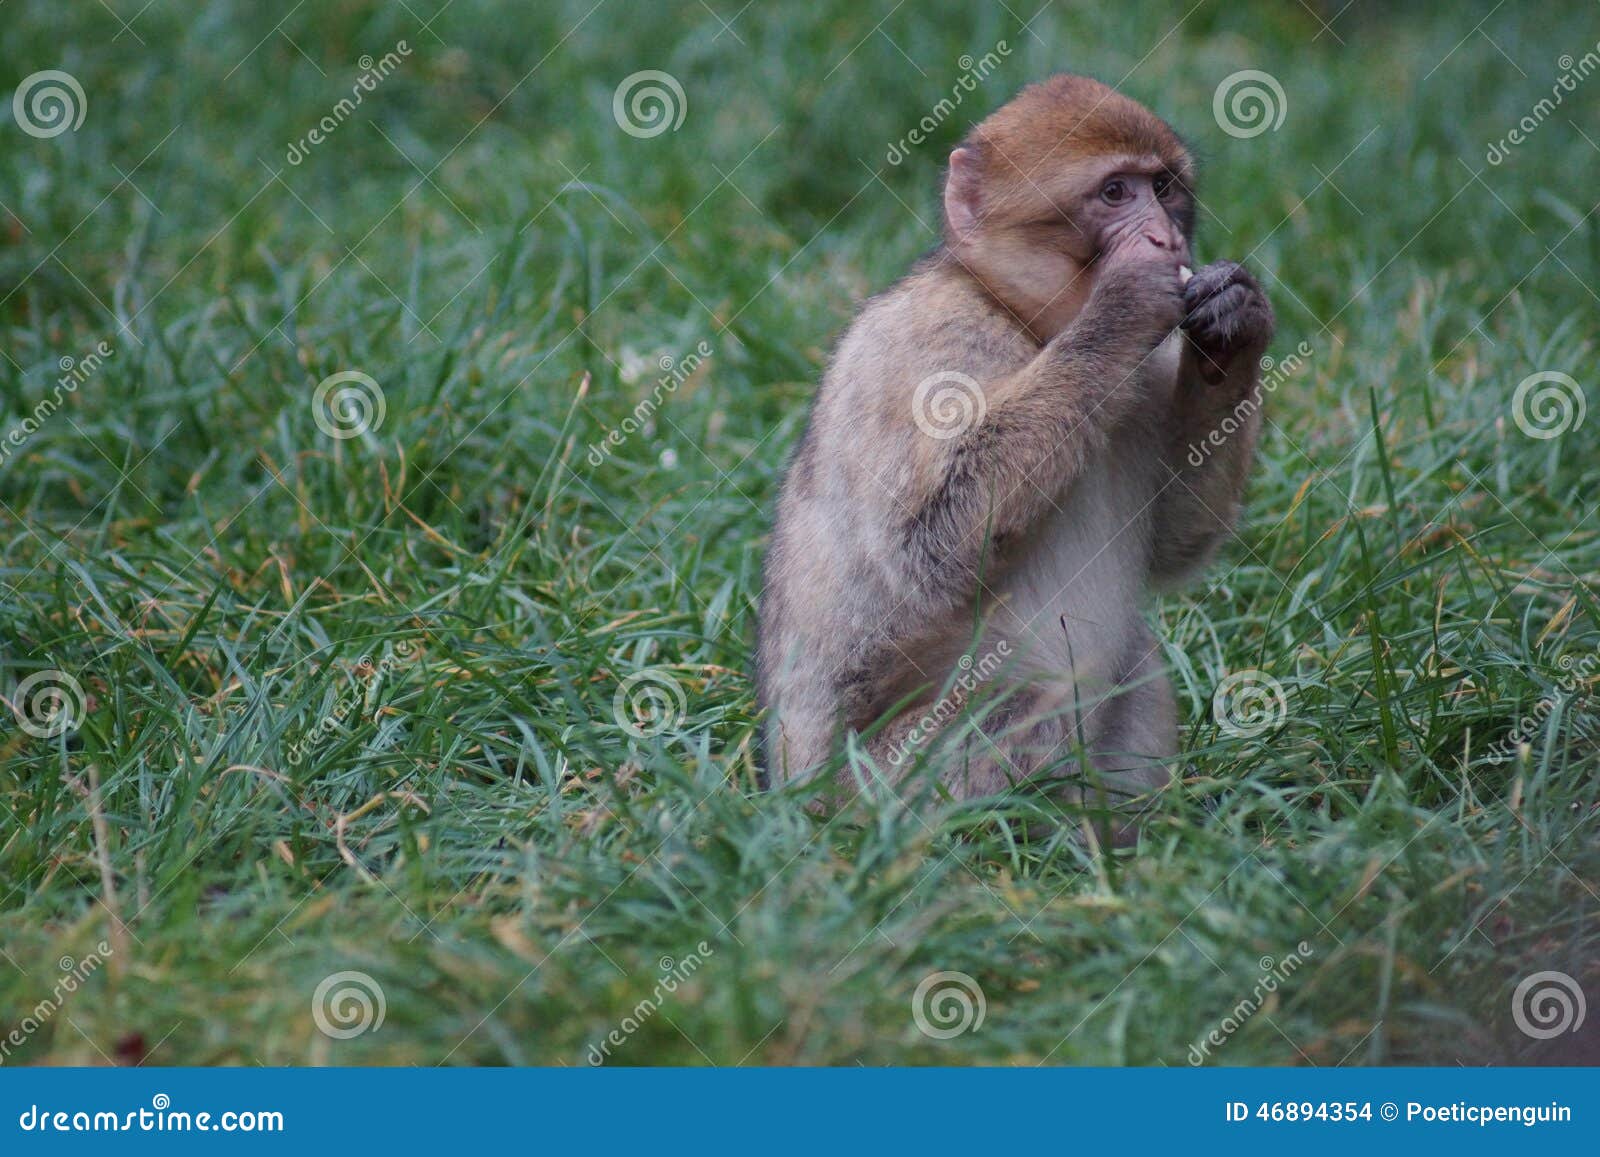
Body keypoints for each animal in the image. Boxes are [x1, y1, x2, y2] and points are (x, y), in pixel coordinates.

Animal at [755, 74, 1274, 832]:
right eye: (1115, 192)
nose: (1166, 235)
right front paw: (1122, 306)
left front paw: (1232, 326)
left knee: (1131, 664)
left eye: (1163, 186)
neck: (1025, 325)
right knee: (1040, 695)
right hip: (876, 788)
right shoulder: (929, 345)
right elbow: (927, 549)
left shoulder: (1152, 371)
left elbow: (1174, 540)